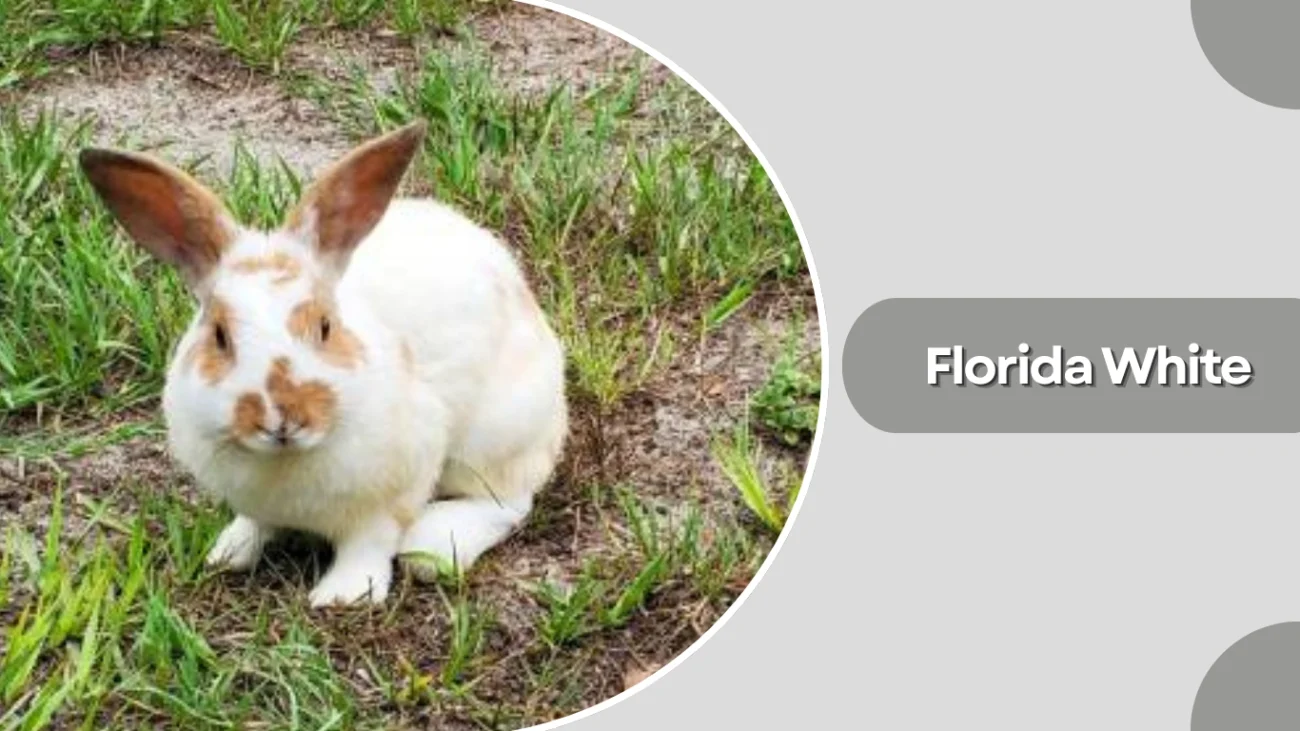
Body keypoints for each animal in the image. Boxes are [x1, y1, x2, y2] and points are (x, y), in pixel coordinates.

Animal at [79, 121, 568, 607]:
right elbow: (255, 523)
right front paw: (229, 554)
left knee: (508, 501)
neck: (288, 459)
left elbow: (369, 544)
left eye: (326, 327)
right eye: (219, 336)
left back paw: (433, 547)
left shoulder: (391, 497)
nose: (280, 416)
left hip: (496, 437)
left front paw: (343, 596)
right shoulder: (253, 502)